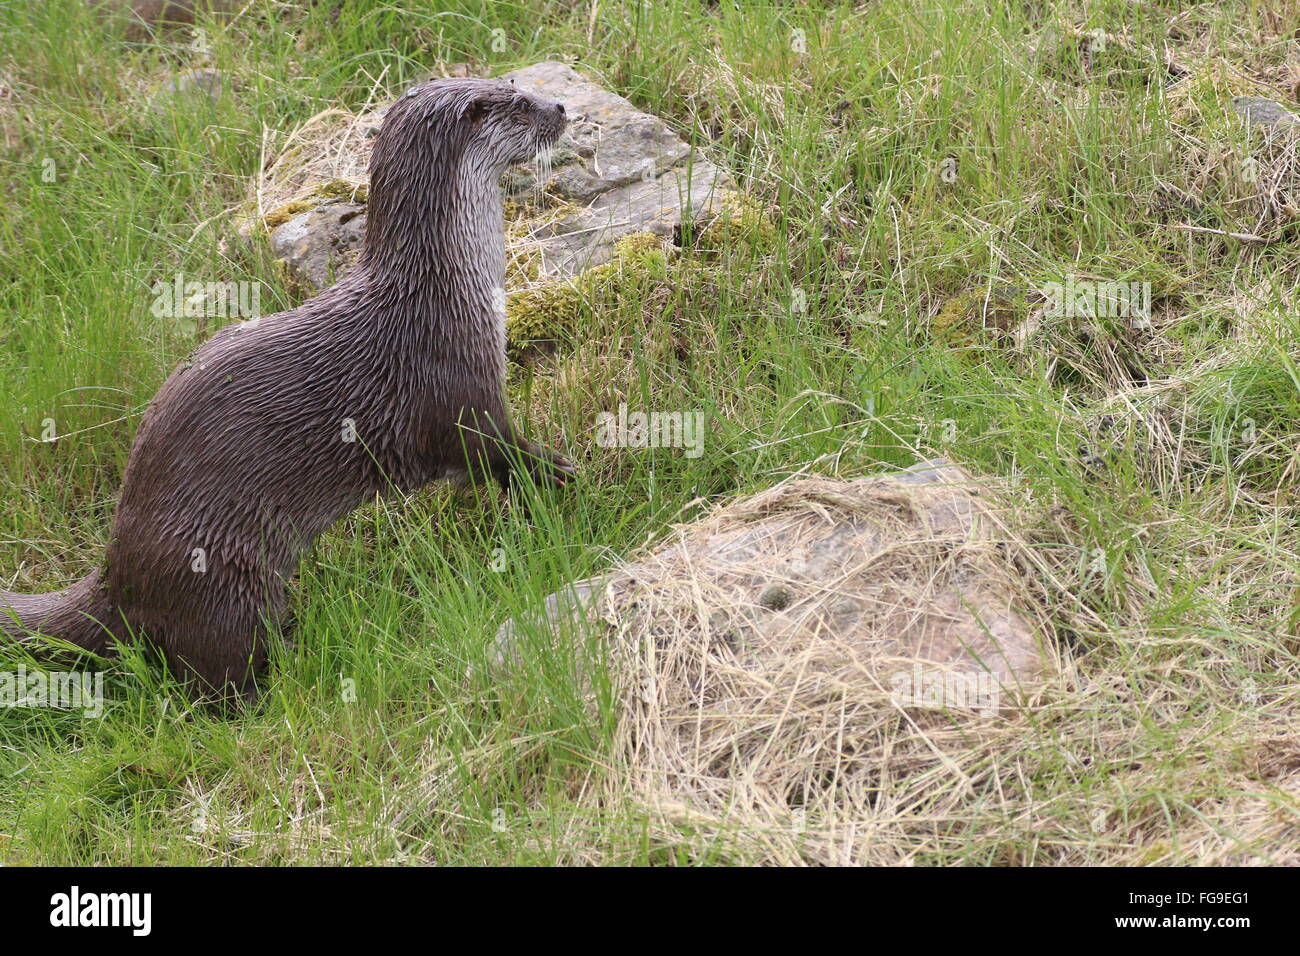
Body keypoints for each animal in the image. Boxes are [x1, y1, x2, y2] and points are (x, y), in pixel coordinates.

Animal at [1, 78, 574, 701]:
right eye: (520, 106)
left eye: (516, 83)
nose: (562, 107)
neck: (443, 292)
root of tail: (116, 578)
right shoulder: (457, 391)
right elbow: (495, 453)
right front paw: (560, 470)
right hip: (220, 581)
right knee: (209, 681)